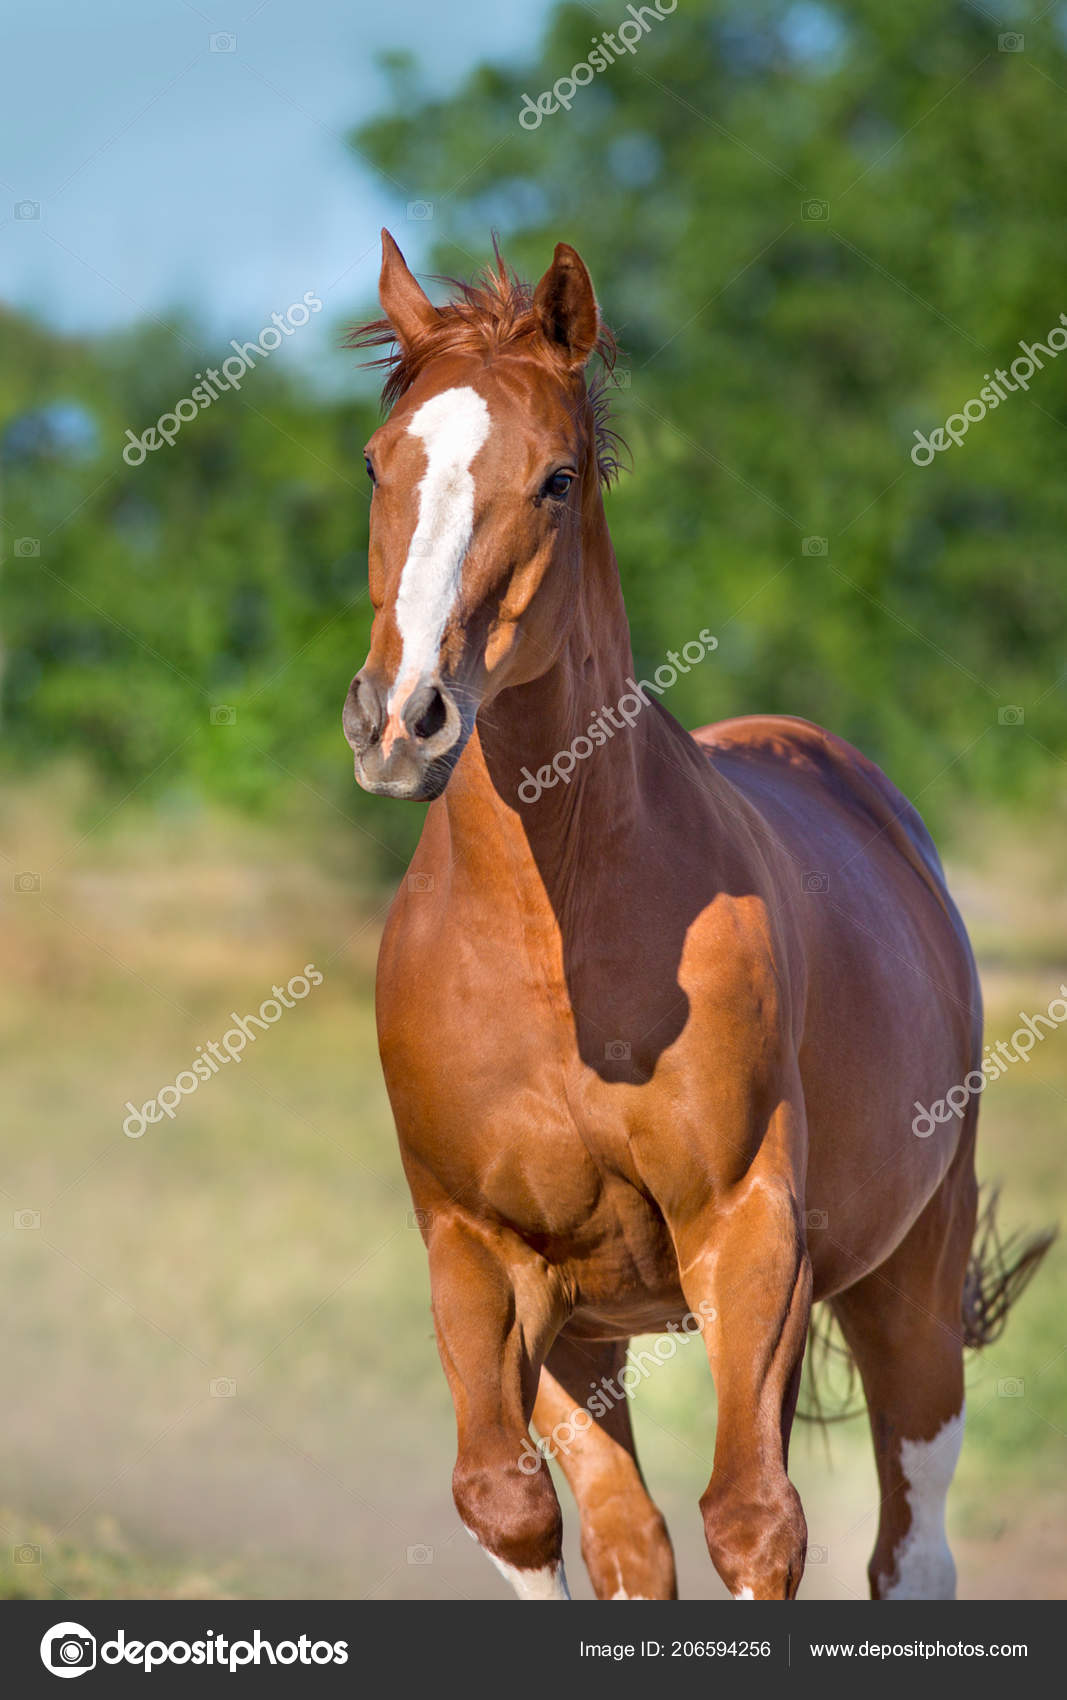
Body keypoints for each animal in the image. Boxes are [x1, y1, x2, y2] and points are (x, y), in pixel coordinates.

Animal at [341, 230, 1051, 1601]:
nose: (401, 721)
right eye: (375, 461)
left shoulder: (743, 1234)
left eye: (555, 478)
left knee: (906, 1547)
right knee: (630, 1533)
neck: (552, 943)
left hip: (908, 1281)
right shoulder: (486, 1258)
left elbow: (754, 1522)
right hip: (604, 1334)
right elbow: (516, 1505)